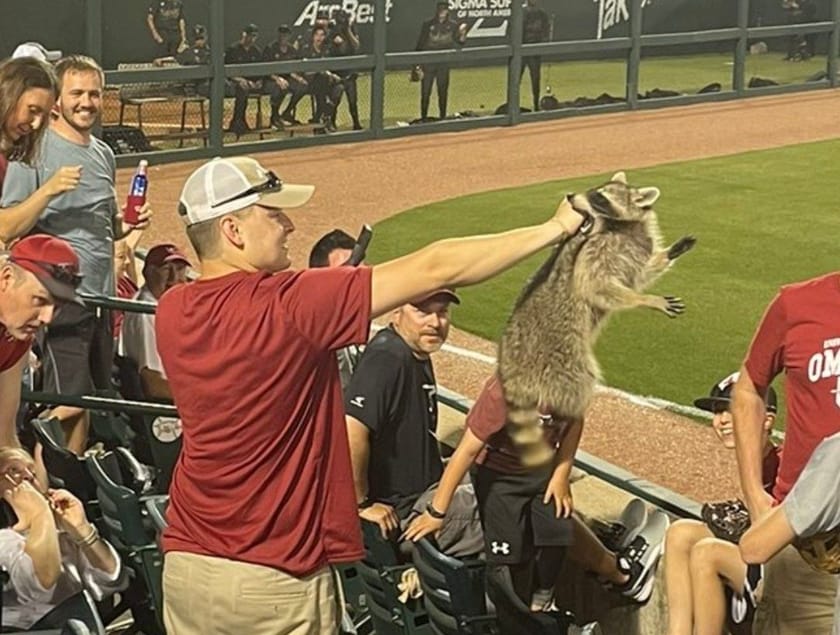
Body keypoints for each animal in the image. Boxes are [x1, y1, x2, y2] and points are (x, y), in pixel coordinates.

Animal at [498, 172, 696, 466]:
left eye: (598, 197)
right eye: (594, 190)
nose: (570, 196)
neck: (623, 226)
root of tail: (510, 366)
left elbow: (640, 275)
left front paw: (670, 252)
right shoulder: (597, 249)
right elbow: (595, 285)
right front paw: (647, 300)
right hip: (562, 356)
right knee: (578, 381)